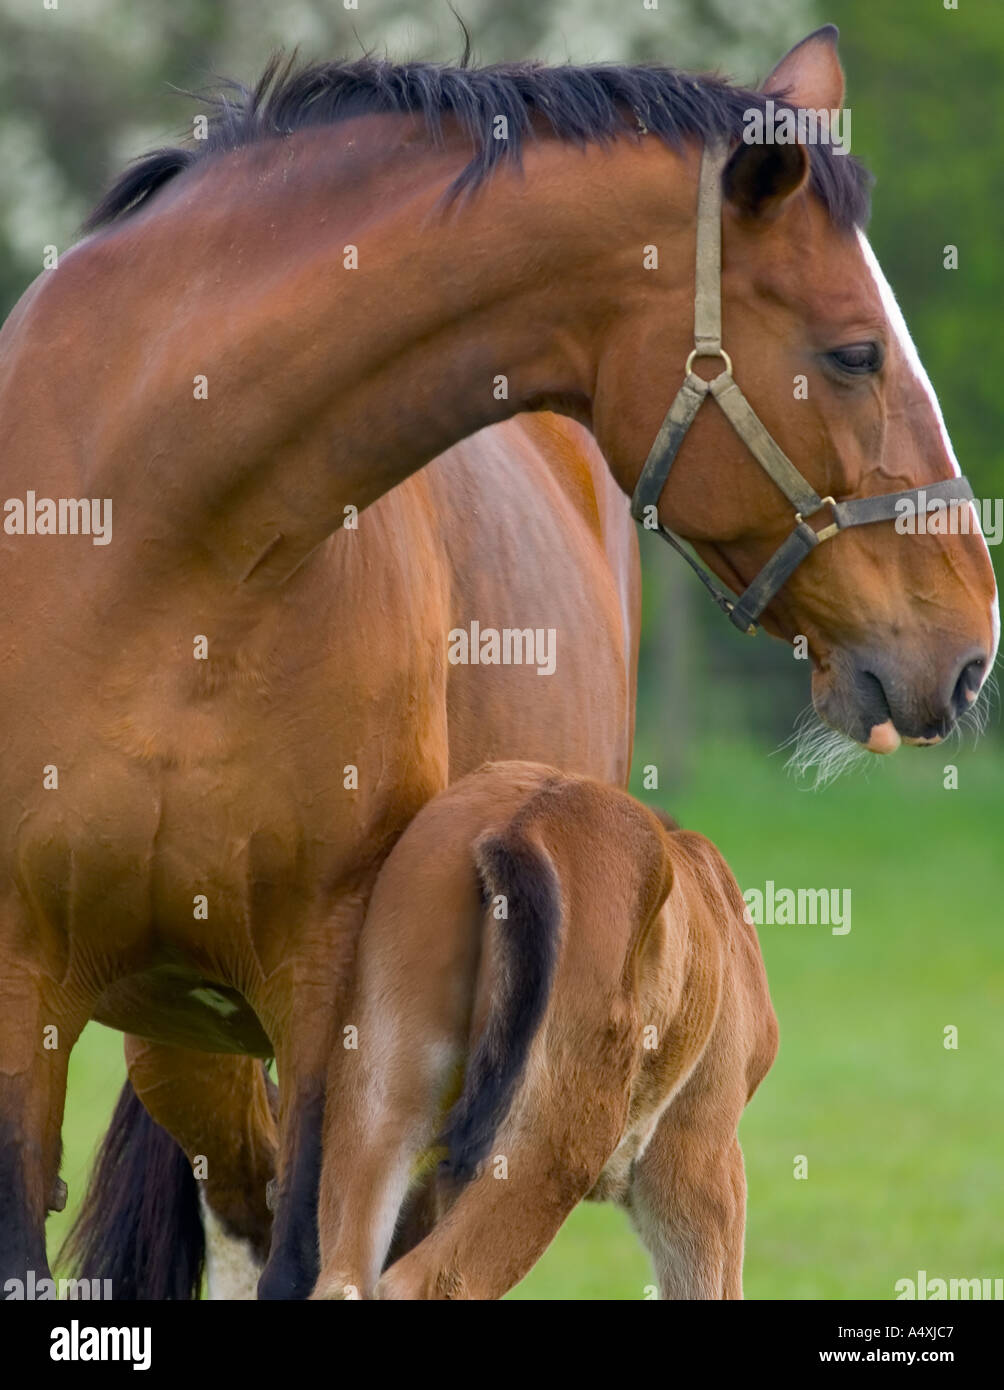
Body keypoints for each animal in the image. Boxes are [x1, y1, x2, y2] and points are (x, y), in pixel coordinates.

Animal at [311, 760, 777, 1300]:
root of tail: (526, 819)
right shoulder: (702, 1146)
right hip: (559, 1134)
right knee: (425, 1279)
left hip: (382, 1092)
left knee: (342, 1278)